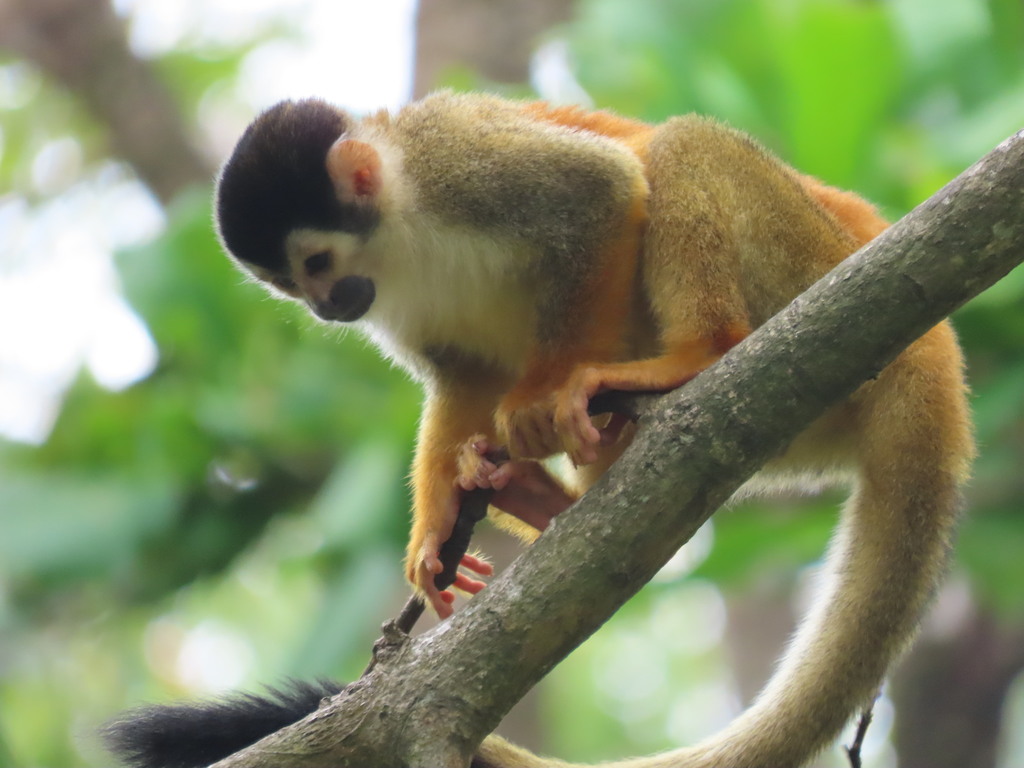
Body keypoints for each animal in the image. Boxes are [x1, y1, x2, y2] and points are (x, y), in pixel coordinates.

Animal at [106, 91, 973, 768]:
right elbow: (461, 374)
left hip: (806, 264)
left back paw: (692, 357)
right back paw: (546, 497)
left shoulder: (457, 163)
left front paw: (537, 404)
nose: (324, 308)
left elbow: (602, 192)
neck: (397, 227)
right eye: (287, 284)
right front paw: (439, 523)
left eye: (314, 264)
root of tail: (932, 347)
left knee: (680, 146)